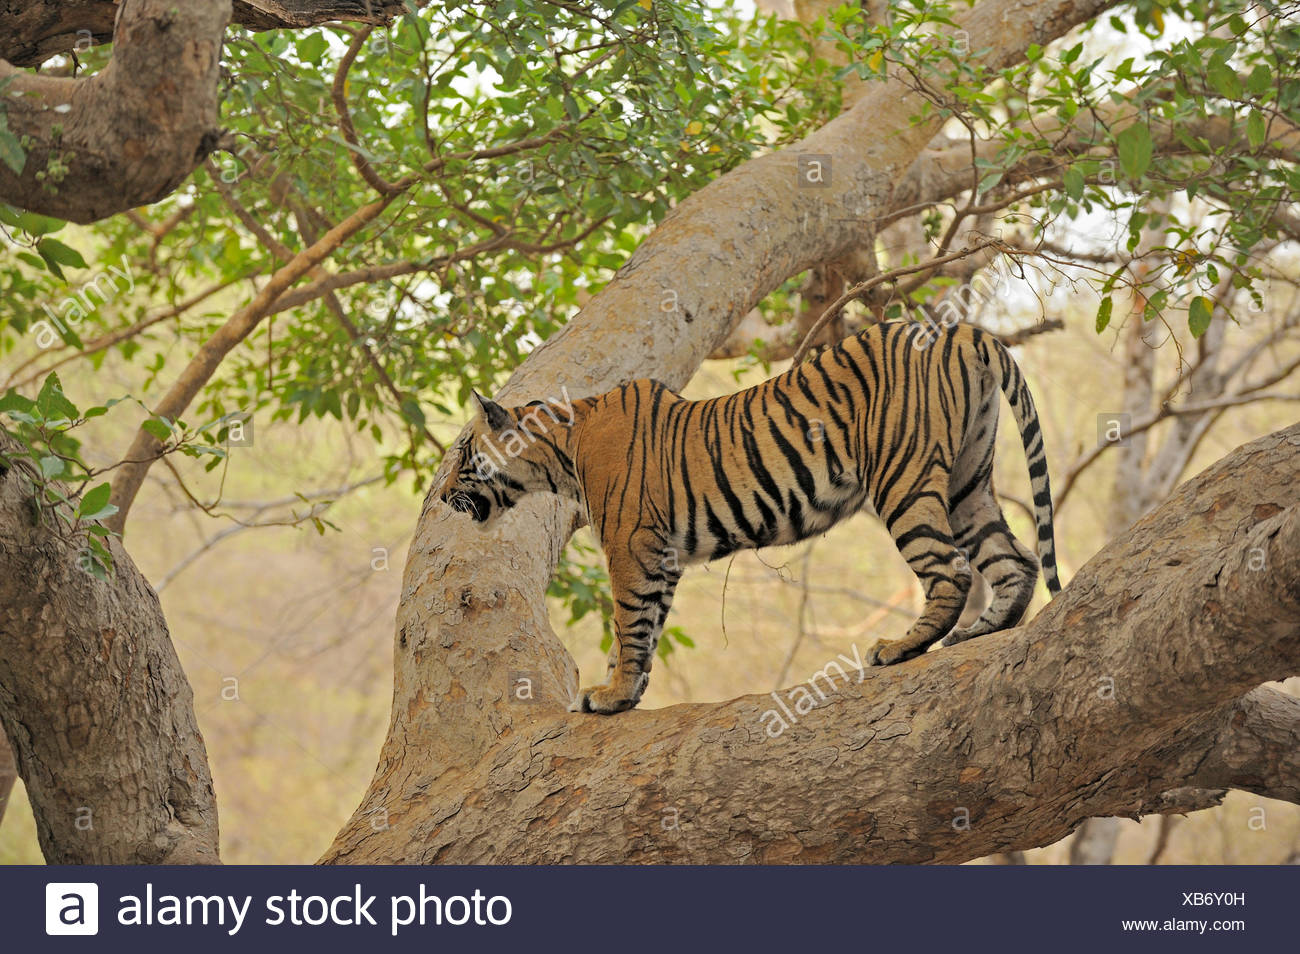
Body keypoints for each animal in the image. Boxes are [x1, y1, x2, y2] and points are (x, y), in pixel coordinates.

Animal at [435, 321, 1062, 714]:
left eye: (462, 452)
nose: (440, 497)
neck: (561, 454)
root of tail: (959, 329)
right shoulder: (661, 554)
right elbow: (646, 626)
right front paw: (624, 692)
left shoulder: (631, 545)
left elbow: (628, 623)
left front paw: (611, 695)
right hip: (966, 483)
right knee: (1015, 560)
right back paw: (982, 631)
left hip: (903, 479)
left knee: (951, 569)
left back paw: (902, 647)